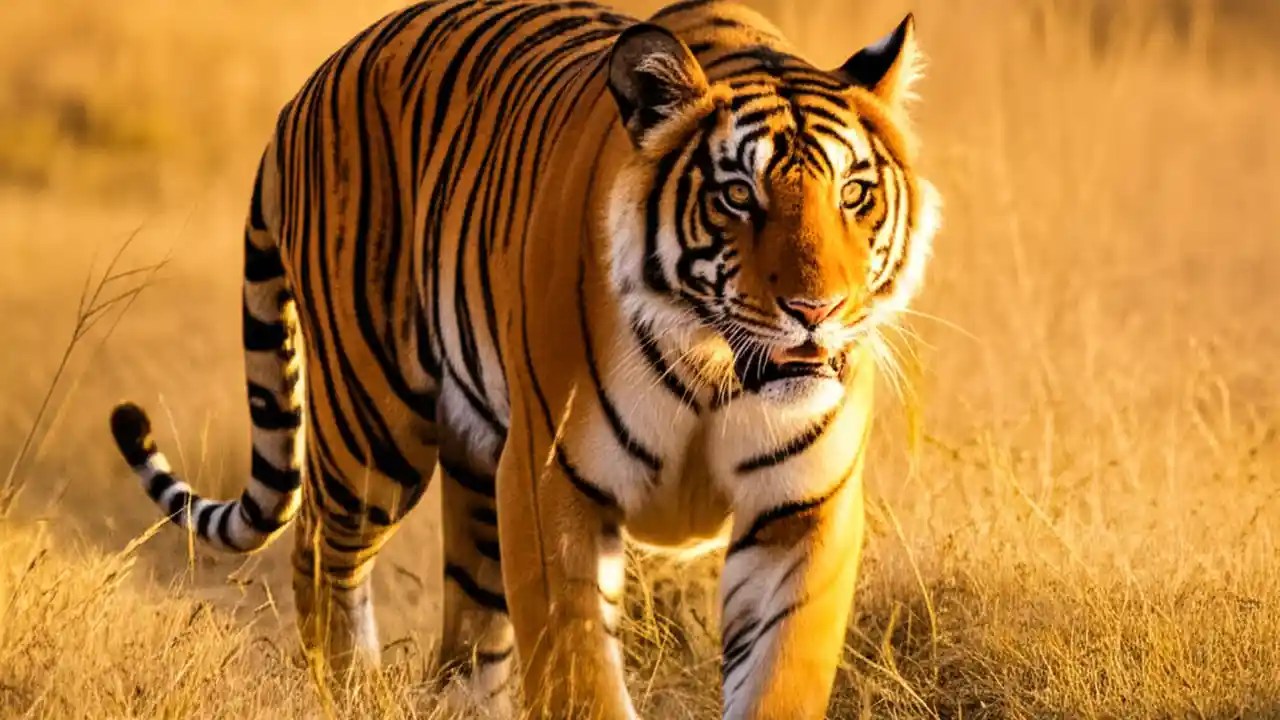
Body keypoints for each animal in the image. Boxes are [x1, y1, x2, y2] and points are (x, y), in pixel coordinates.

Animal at [107, 0, 940, 717]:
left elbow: (780, 674)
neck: (714, 369)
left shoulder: (803, 507)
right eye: (738, 195)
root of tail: (306, 91)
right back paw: (354, 694)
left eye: (854, 193)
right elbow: (579, 673)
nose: (817, 311)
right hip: (374, 427)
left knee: (466, 640)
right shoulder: (553, 481)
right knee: (319, 548)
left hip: (476, 469)